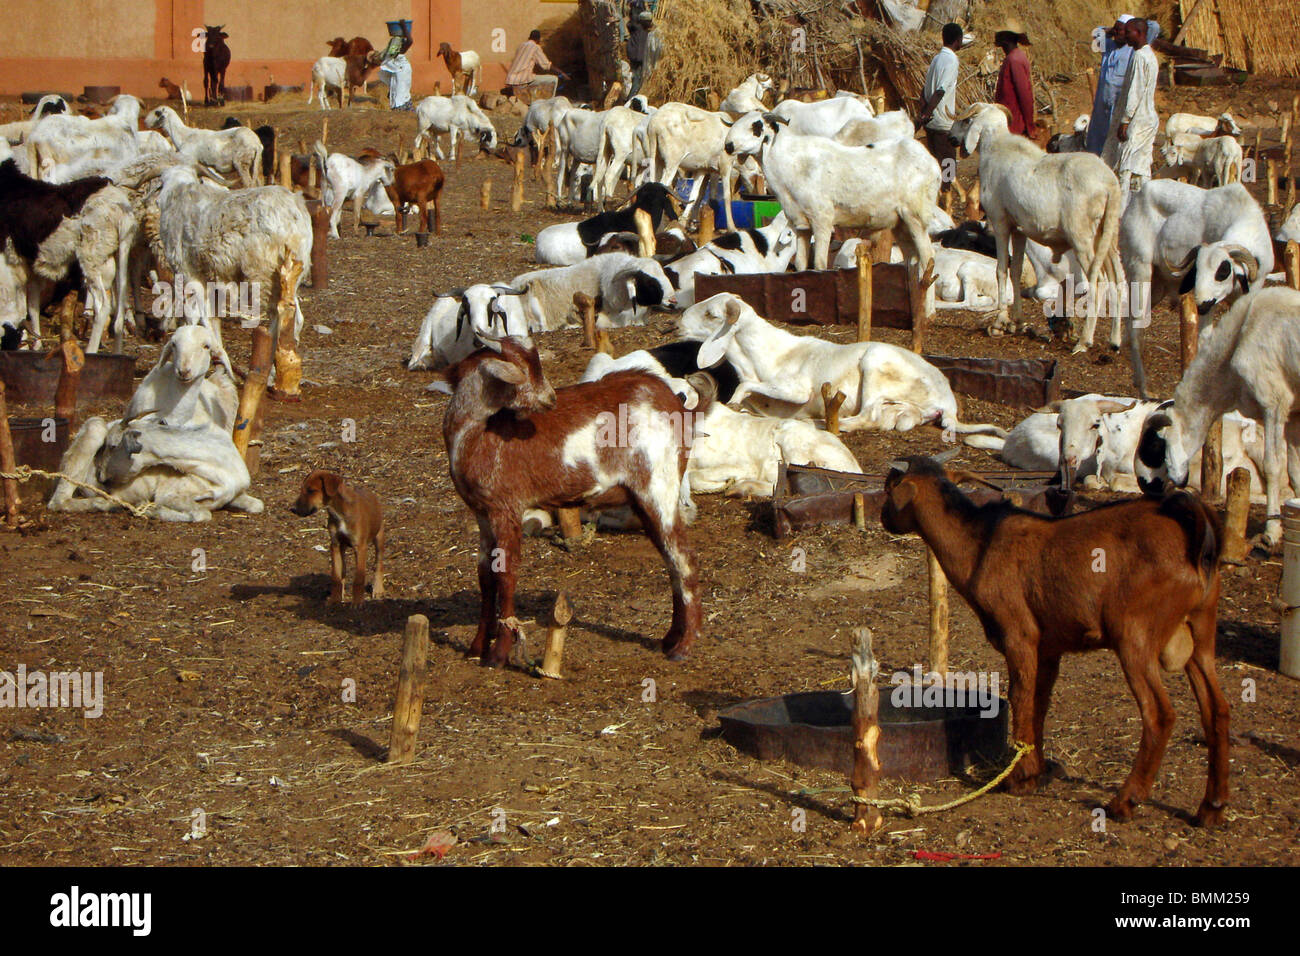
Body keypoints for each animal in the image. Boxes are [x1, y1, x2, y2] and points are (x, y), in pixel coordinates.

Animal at [429, 337, 704, 664]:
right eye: (523, 369)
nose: (550, 399)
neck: (475, 433)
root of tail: (674, 404)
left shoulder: (506, 507)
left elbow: (506, 574)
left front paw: (498, 653)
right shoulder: (481, 513)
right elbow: (485, 575)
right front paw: (476, 647)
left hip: (659, 486)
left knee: (683, 558)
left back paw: (684, 647)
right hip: (644, 497)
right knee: (671, 561)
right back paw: (670, 638)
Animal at [881, 456, 1229, 827]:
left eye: (890, 488)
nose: (884, 517)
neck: (980, 544)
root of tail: (1194, 527)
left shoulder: (1019, 635)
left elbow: (1020, 697)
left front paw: (1019, 778)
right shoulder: (1048, 647)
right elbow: (1039, 702)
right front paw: (1035, 772)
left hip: (1135, 635)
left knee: (1159, 714)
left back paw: (1125, 801)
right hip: (1202, 630)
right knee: (1217, 709)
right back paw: (1211, 807)